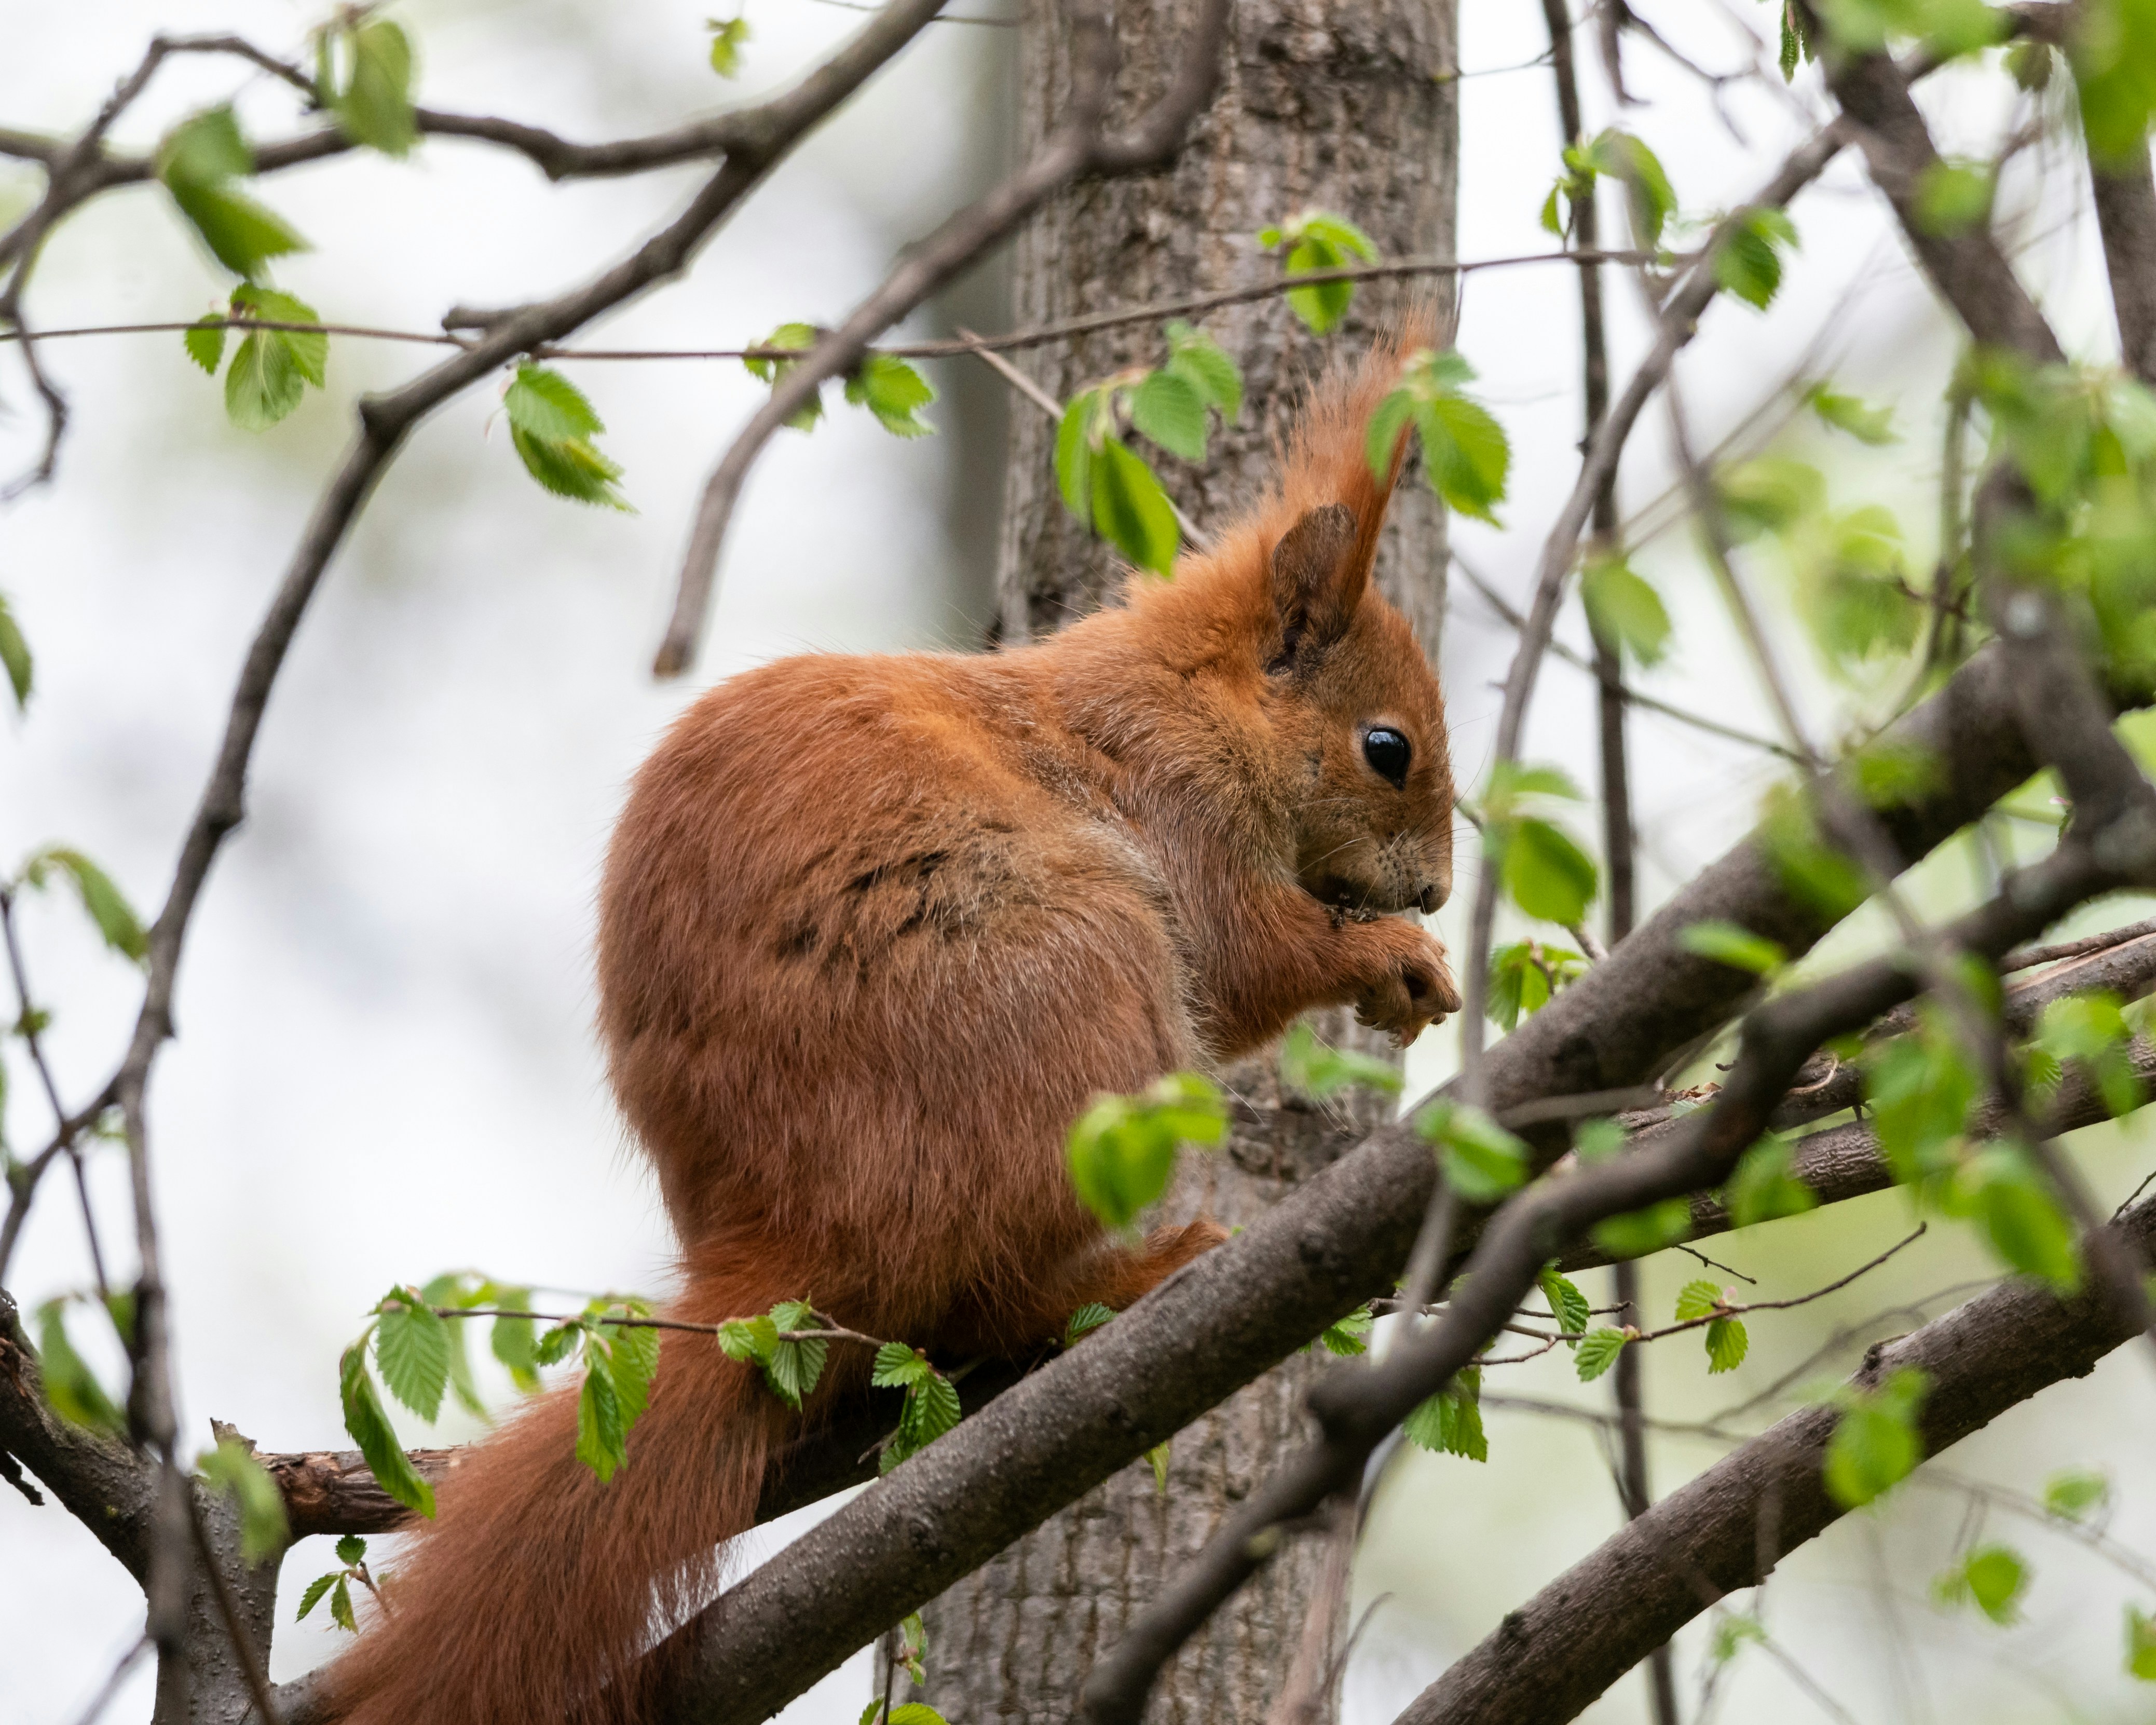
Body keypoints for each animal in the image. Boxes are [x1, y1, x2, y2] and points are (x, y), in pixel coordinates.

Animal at [323, 328, 1461, 1725]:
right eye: (1385, 746)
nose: (1436, 890)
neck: (1191, 695)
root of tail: (792, 1245)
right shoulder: (1177, 809)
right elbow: (1253, 960)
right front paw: (1386, 960)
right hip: (1091, 986)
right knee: (986, 1297)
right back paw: (1135, 1270)